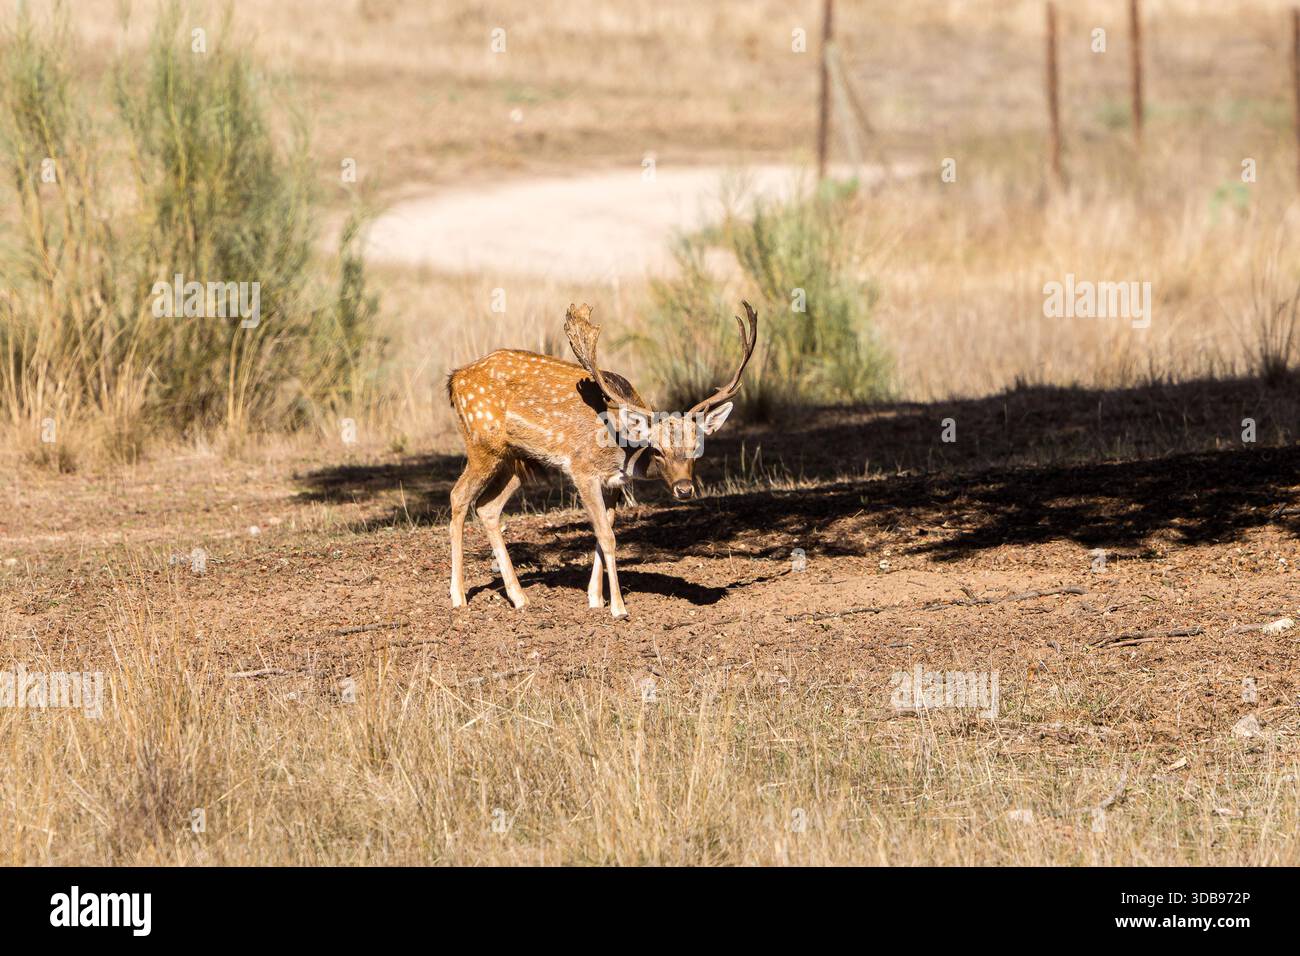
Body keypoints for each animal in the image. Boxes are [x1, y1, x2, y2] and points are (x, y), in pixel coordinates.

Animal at [446, 301, 758, 619]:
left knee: (487, 507)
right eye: (657, 450)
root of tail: (455, 379)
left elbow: (603, 530)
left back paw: (519, 597)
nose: (684, 489)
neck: (619, 447)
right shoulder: (582, 471)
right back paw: (458, 595)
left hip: (514, 461)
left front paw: (595, 598)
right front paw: (618, 607)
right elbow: (607, 536)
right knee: (458, 495)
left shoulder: (613, 483)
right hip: (482, 445)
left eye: (696, 448)